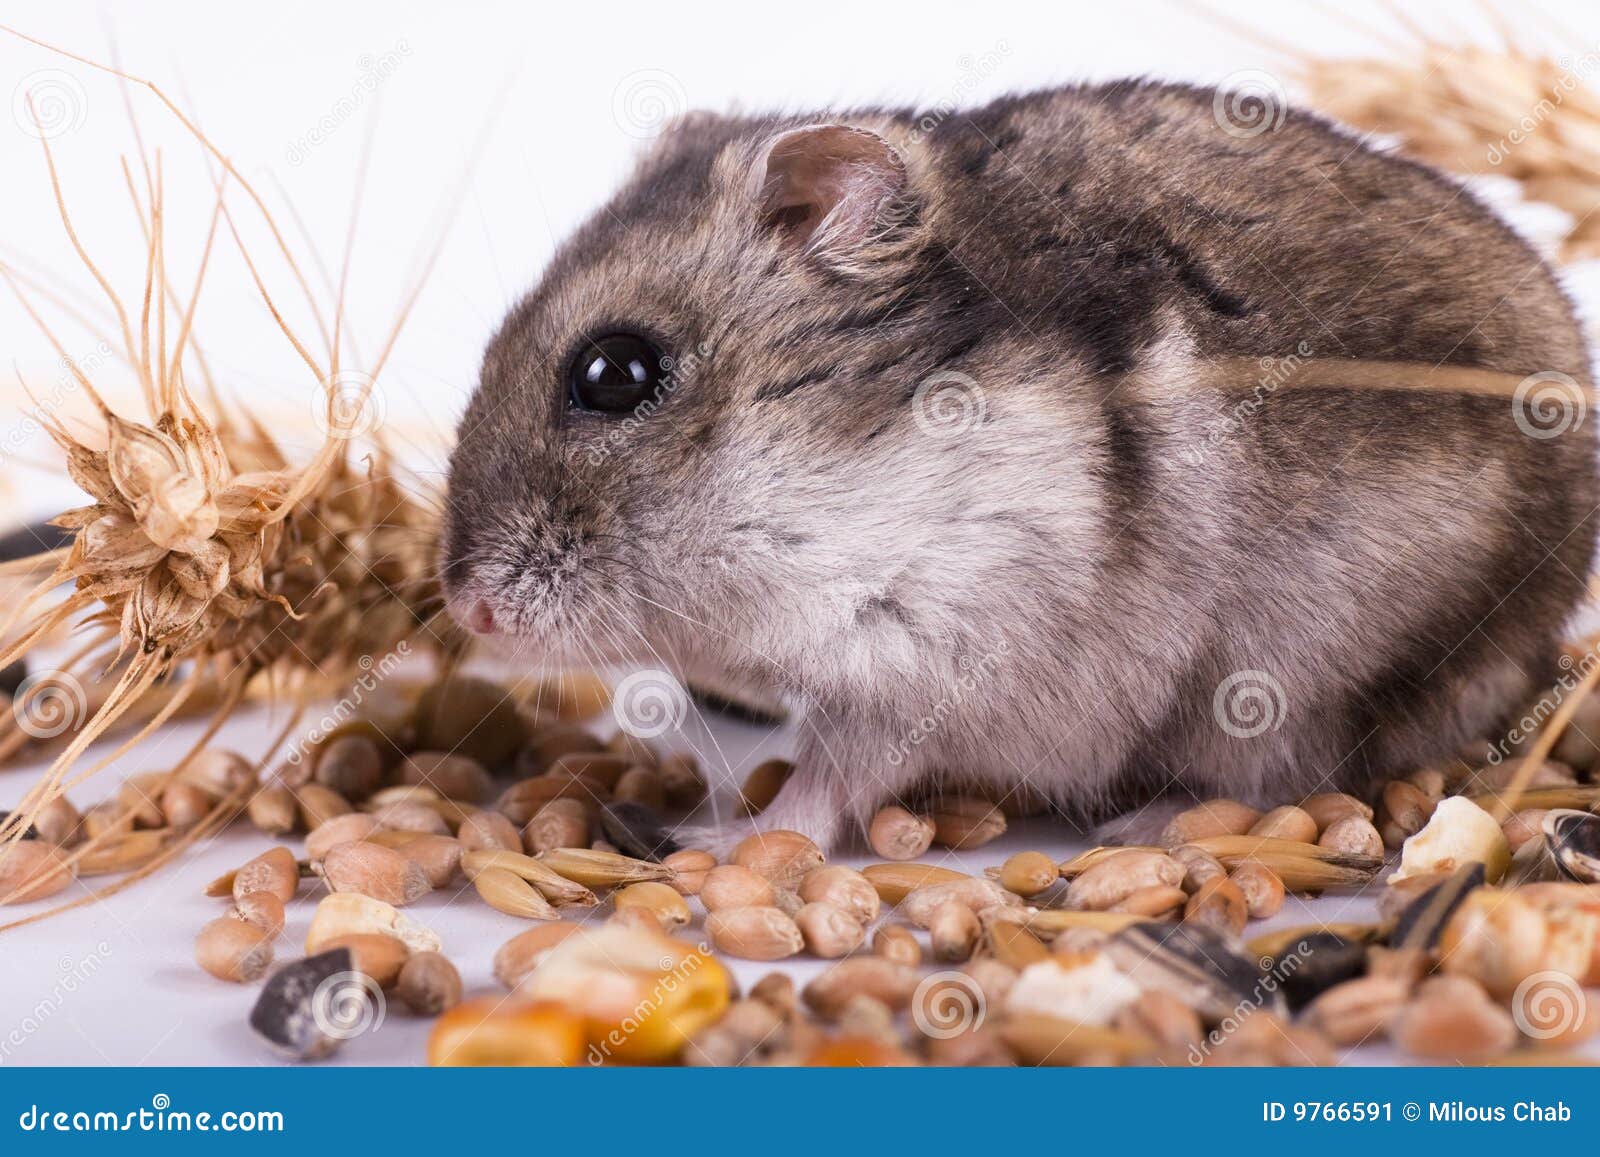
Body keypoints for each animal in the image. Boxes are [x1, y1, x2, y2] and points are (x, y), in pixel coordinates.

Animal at [442, 80, 1597, 851]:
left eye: (613, 371)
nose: (466, 610)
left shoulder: (931, 654)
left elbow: (831, 776)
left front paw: (708, 841)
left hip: (1302, 678)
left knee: (1285, 773)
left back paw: (1141, 830)